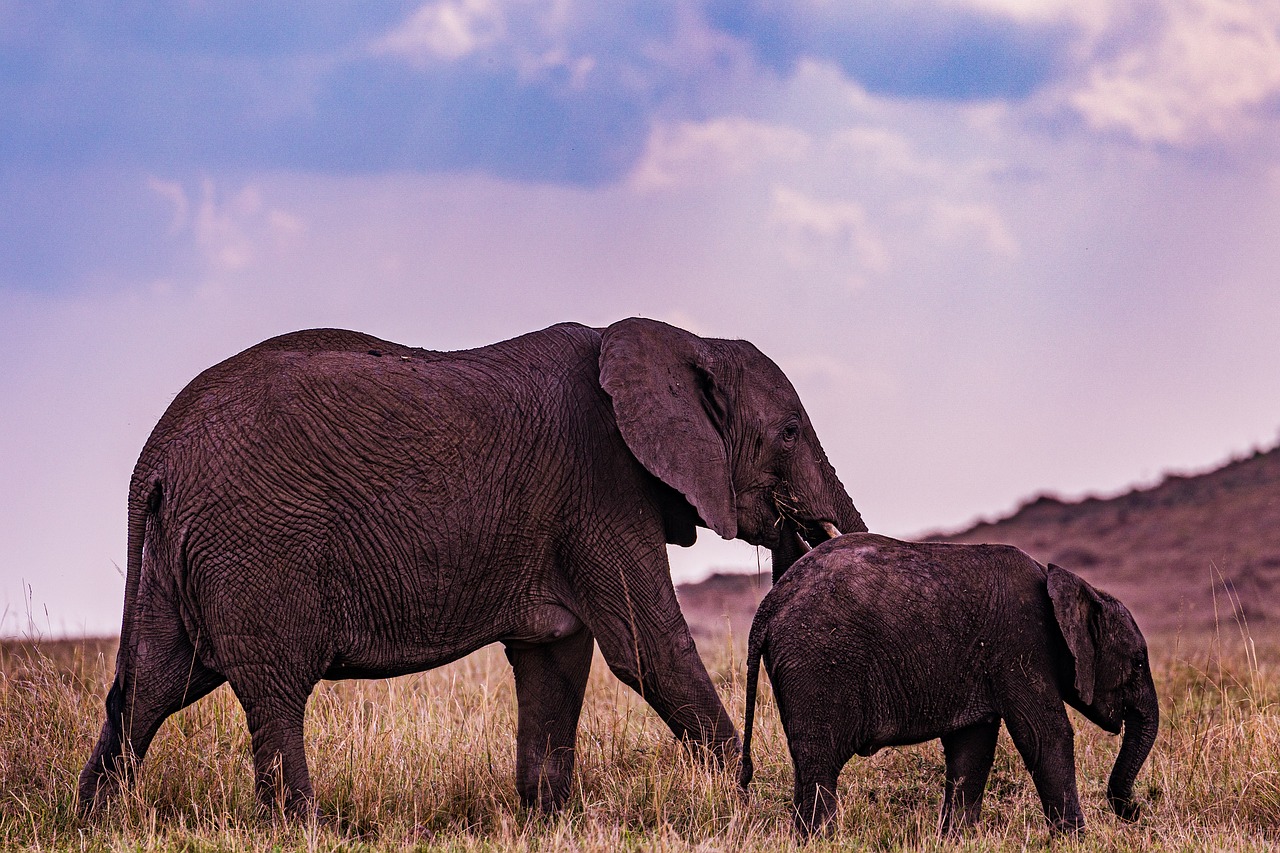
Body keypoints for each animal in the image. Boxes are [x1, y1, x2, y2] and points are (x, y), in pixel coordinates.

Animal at [78, 318, 864, 819]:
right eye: (789, 432)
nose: (802, 535)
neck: (683, 339)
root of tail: (156, 460)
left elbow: (556, 656)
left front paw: (549, 821)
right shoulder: (602, 490)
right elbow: (649, 651)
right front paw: (747, 805)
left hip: (177, 555)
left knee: (150, 684)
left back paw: (94, 821)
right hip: (257, 546)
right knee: (271, 691)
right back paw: (299, 829)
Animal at [739, 533, 1158, 839]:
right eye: (1137, 662)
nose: (1136, 810)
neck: (1071, 586)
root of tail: (770, 603)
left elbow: (972, 747)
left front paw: (955, 840)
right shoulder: (1022, 644)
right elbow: (1046, 735)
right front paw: (1076, 841)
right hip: (818, 661)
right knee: (819, 760)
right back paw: (821, 840)